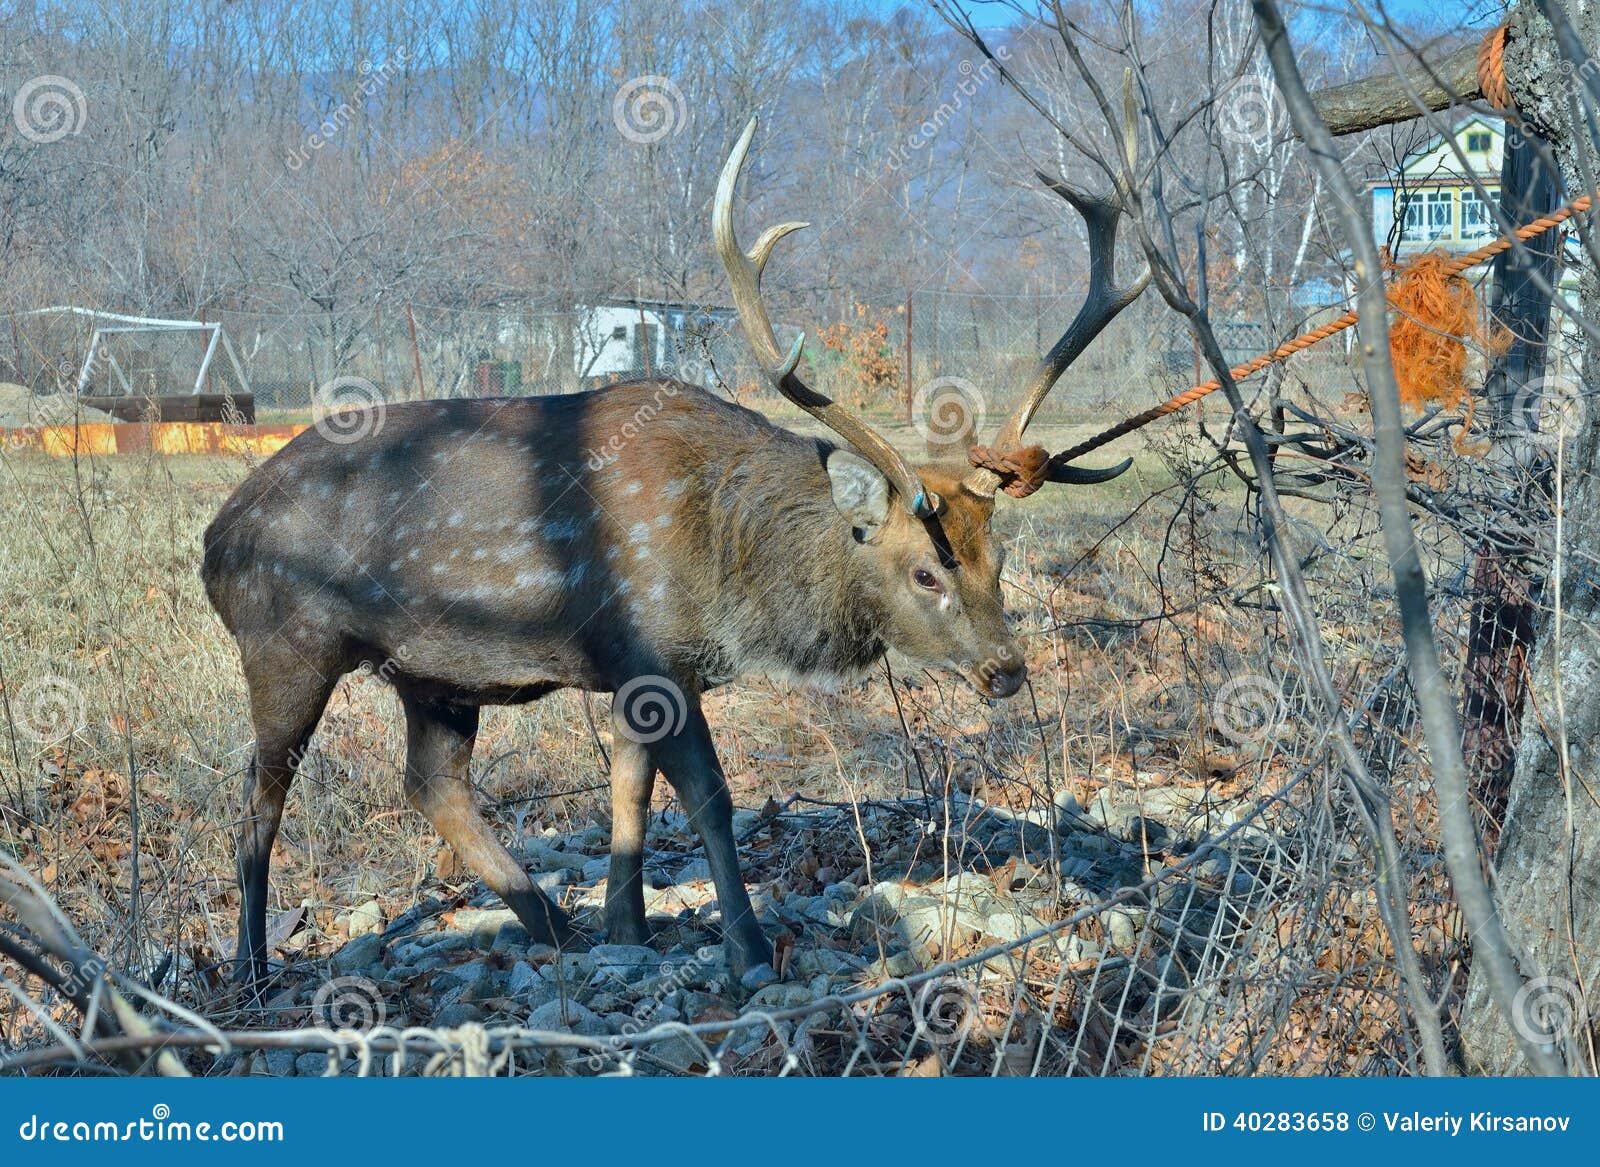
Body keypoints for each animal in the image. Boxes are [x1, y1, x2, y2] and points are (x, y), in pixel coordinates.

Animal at [202, 118, 1148, 986]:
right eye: (924, 569)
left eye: (998, 561)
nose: (1006, 669)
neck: (724, 556)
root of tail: (214, 540)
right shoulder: (651, 651)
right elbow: (709, 797)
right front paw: (749, 948)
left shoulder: (638, 669)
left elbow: (631, 794)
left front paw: (627, 926)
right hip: (287, 643)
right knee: (258, 799)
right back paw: (252, 963)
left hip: (435, 670)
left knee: (432, 783)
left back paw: (551, 923)